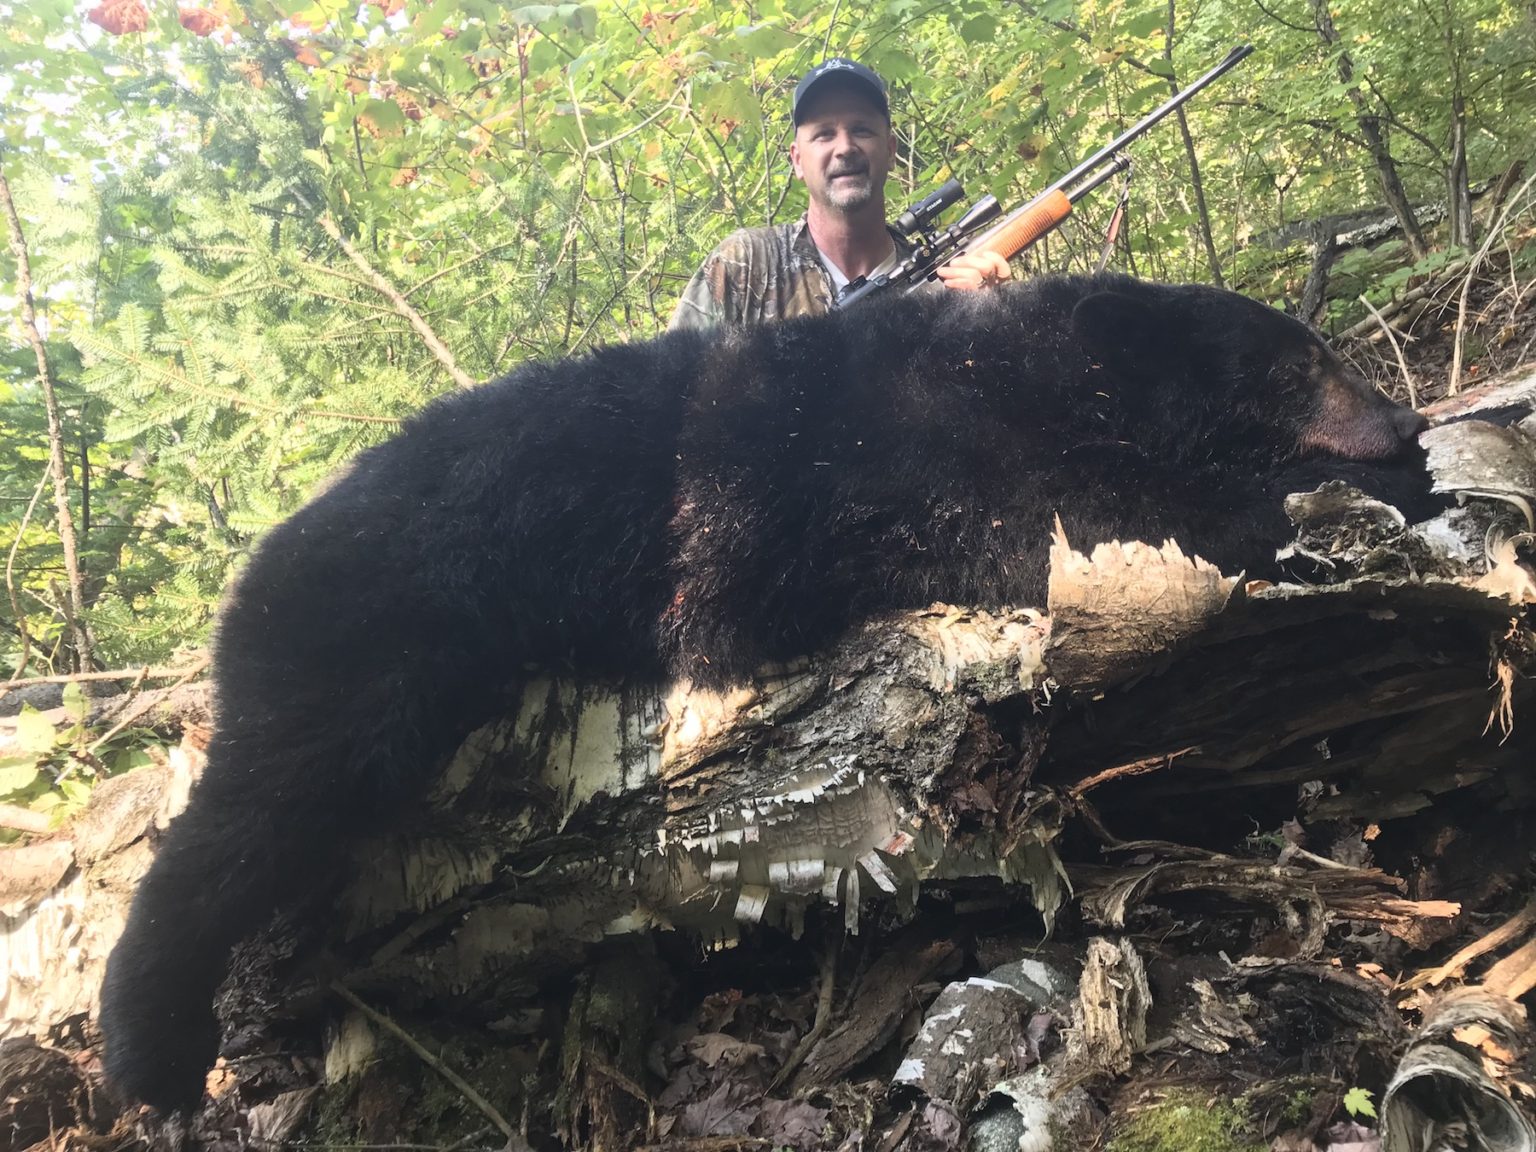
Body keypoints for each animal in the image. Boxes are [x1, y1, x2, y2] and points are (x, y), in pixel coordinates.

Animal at [98, 272, 1430, 1112]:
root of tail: (260, 559)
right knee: (256, 806)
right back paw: (149, 1041)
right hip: (369, 627)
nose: (1403, 412)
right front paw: (1354, 493)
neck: (1031, 363)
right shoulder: (928, 460)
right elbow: (1074, 516)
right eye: (1306, 358)